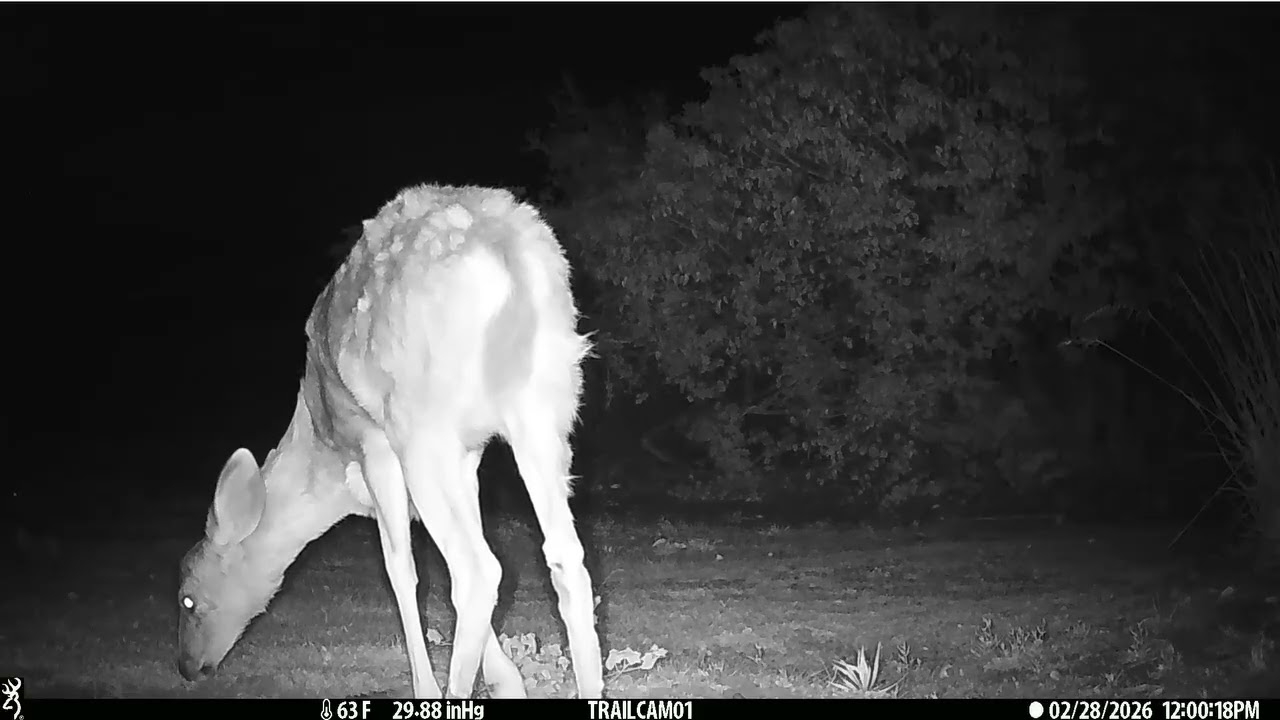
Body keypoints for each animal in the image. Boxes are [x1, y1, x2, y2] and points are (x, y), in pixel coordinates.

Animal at [176, 184, 604, 699]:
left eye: (188, 599)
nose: (187, 667)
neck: (324, 445)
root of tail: (510, 256)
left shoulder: (374, 446)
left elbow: (400, 569)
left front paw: (438, 685)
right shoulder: (468, 452)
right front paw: (507, 683)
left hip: (420, 427)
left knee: (478, 570)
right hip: (545, 404)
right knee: (565, 557)